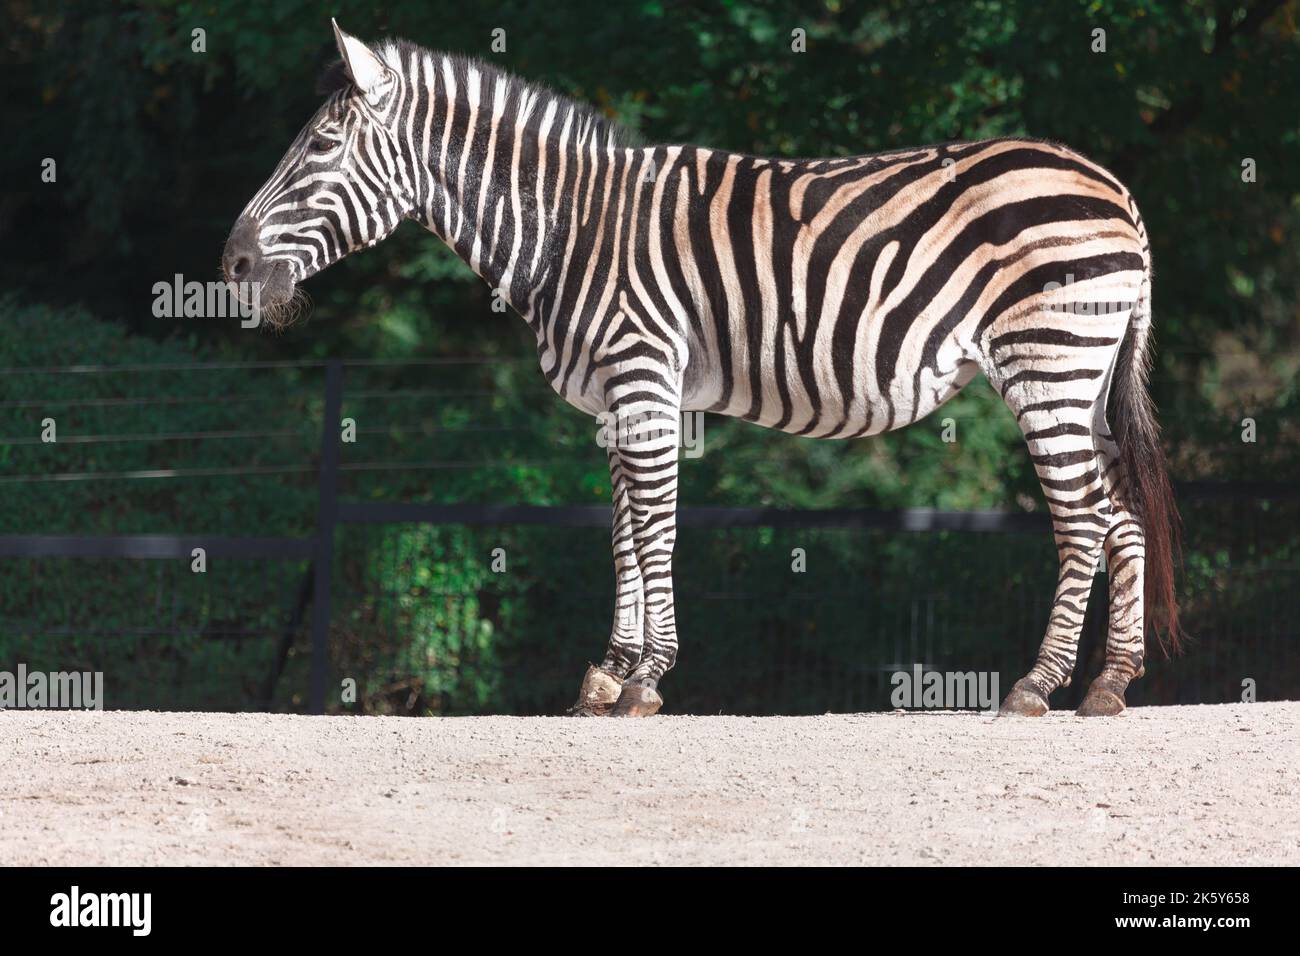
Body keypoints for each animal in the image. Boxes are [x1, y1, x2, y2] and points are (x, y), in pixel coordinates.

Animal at [224, 22, 1180, 718]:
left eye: (318, 150)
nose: (230, 264)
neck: (571, 229)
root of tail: (1118, 188)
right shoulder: (618, 397)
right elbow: (621, 531)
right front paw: (608, 676)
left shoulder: (644, 372)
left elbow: (654, 526)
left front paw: (646, 680)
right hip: (1083, 378)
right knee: (1124, 515)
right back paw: (1107, 687)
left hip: (1046, 363)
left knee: (1084, 520)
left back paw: (1034, 687)